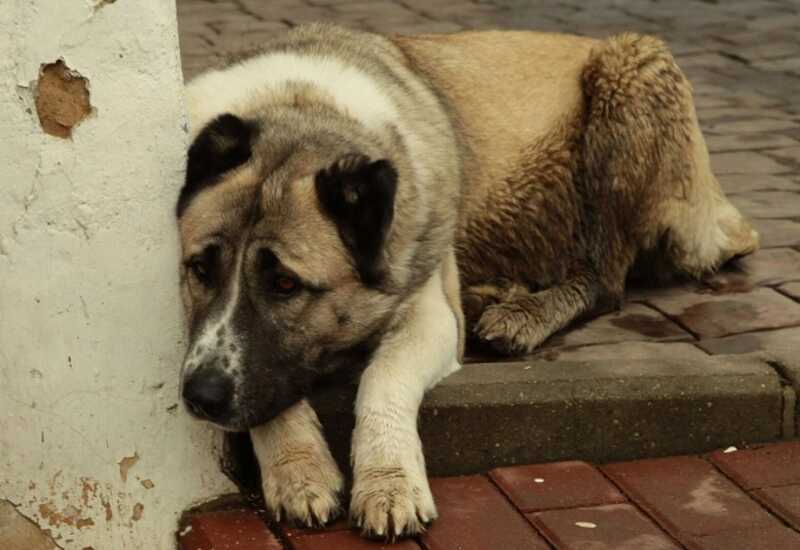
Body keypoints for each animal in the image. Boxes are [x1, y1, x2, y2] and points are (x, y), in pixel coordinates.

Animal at [175, 22, 756, 540]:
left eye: (285, 285)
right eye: (200, 270)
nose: (198, 397)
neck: (299, 107)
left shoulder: (428, 312)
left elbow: (381, 379)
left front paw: (388, 483)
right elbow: (265, 394)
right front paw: (299, 470)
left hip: (628, 82)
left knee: (606, 279)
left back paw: (522, 315)